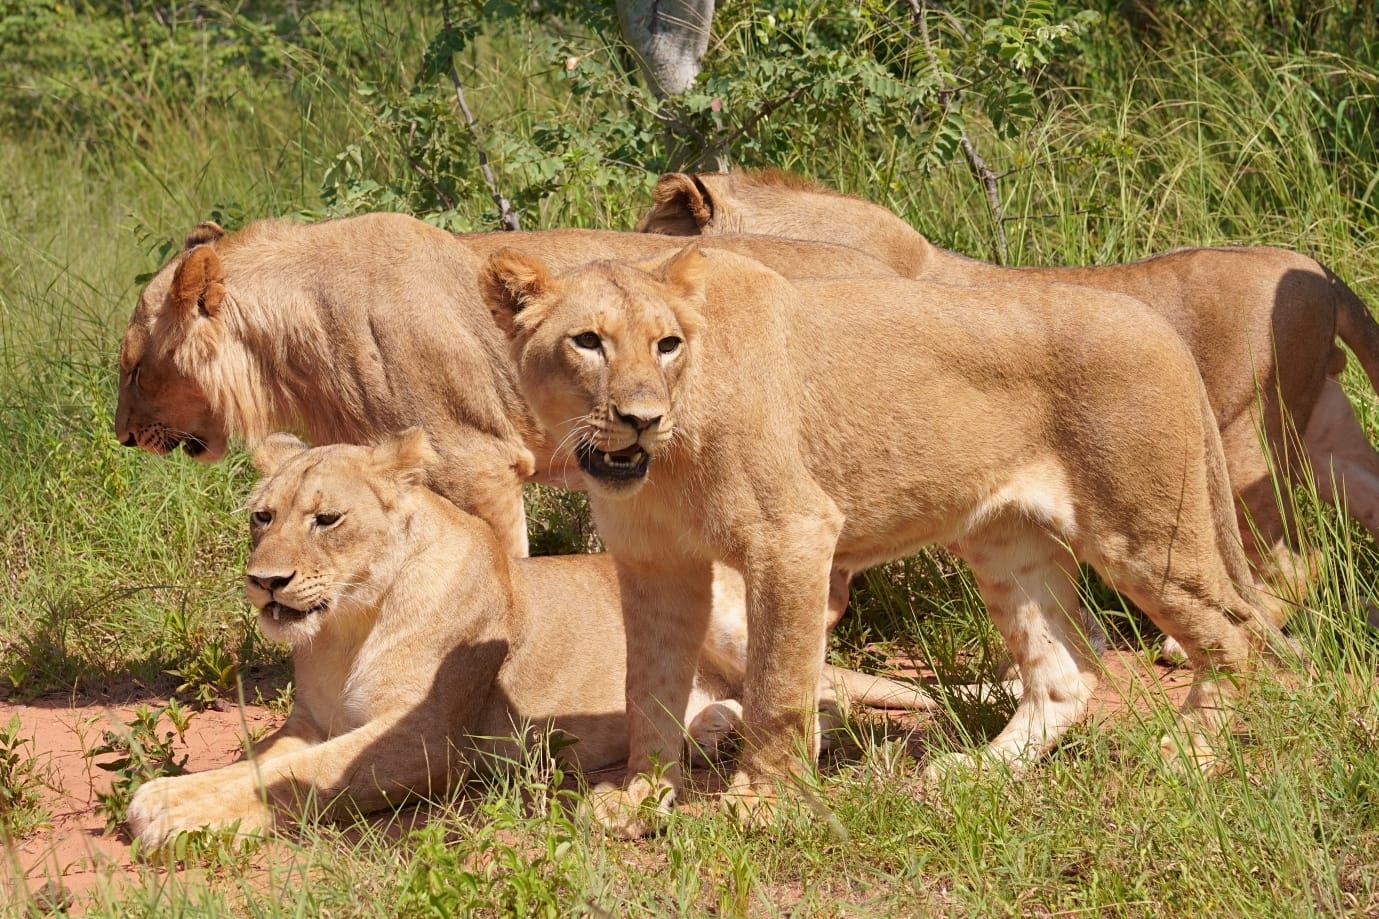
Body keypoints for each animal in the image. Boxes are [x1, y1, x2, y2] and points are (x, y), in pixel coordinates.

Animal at [124, 427, 943, 844]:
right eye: (261, 517)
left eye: (326, 519)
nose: (266, 581)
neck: (345, 627)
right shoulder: (311, 722)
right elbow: (261, 757)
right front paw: (179, 793)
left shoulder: (422, 740)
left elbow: (300, 776)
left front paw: (169, 808)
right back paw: (709, 729)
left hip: (733, 617)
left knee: (810, 694)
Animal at [485, 242, 1279, 838]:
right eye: (588, 342)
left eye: (666, 344)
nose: (641, 418)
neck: (663, 464)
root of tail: (1154, 321)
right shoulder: (656, 563)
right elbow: (646, 687)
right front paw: (640, 798)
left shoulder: (794, 533)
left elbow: (777, 685)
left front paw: (765, 802)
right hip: (1007, 538)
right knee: (1068, 672)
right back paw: (975, 773)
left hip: (1143, 526)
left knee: (1235, 630)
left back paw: (1186, 754)